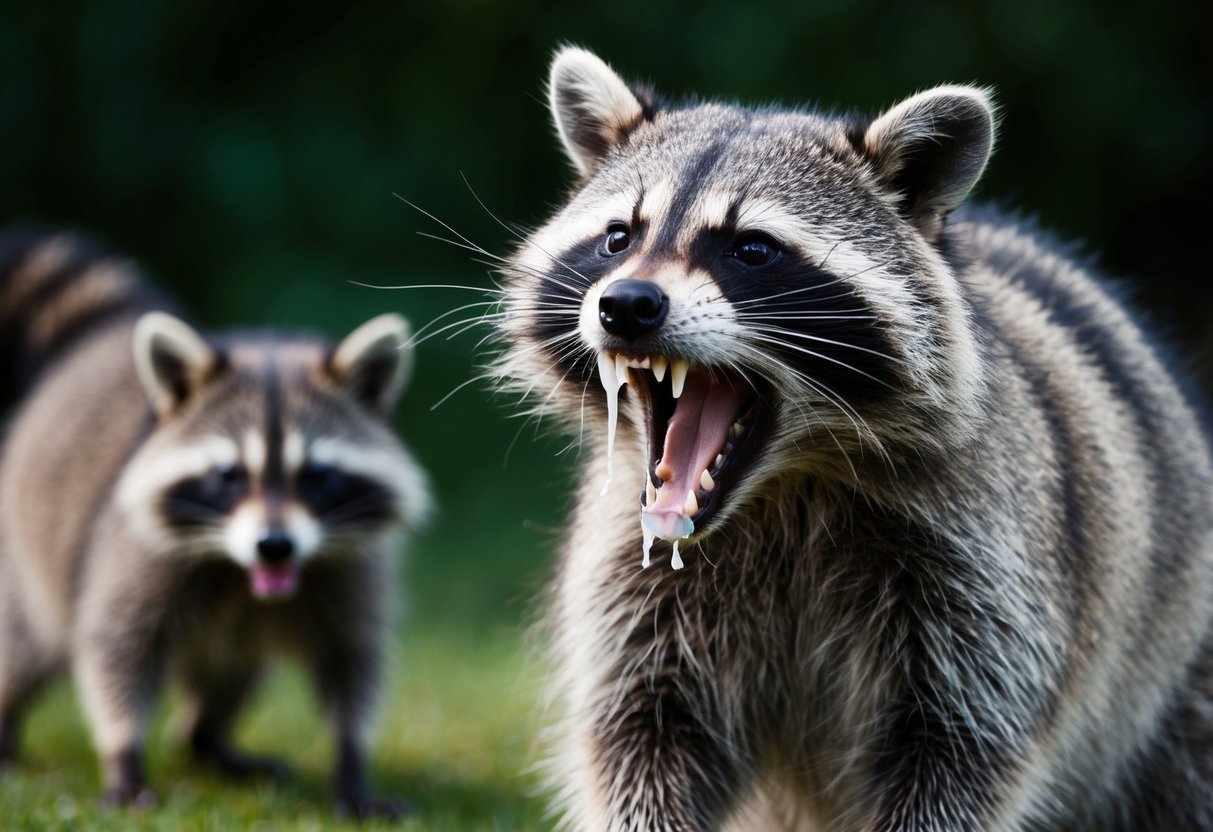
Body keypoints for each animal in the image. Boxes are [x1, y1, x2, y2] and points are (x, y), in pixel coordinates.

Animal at [0, 228, 429, 817]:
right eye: (229, 474)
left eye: (316, 475)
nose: (275, 545)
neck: (239, 570)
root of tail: (102, 334)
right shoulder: (132, 554)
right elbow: (116, 650)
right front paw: (122, 756)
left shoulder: (347, 572)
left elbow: (353, 662)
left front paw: (352, 767)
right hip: (23, 549)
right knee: (23, 645)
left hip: (239, 638)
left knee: (232, 676)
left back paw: (207, 742)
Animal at [495, 48, 1213, 830]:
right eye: (619, 237)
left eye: (752, 249)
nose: (626, 304)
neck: (786, 485)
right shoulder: (634, 572)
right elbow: (645, 734)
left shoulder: (983, 575)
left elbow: (954, 749)